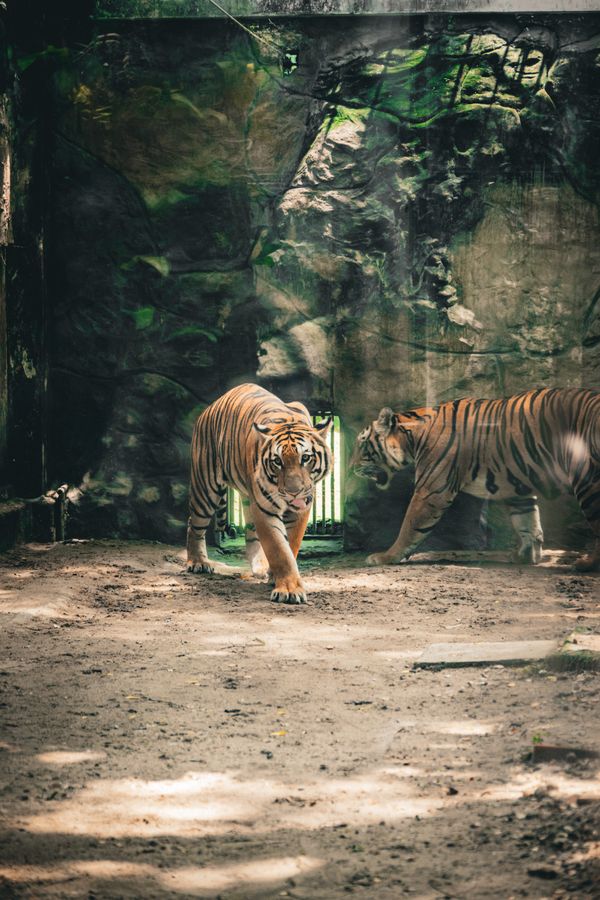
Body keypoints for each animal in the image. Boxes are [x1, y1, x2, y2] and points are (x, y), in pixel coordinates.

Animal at [187, 383, 332, 604]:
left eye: (305, 458)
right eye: (277, 461)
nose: (293, 492)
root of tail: (210, 407)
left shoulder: (300, 510)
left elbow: (291, 544)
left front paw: (275, 577)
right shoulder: (264, 508)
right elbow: (279, 549)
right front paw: (289, 590)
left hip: (247, 499)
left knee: (251, 533)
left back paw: (261, 567)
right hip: (206, 488)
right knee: (194, 524)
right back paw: (197, 562)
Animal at [351, 388, 600, 572]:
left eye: (362, 444)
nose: (351, 468)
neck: (412, 439)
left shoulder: (431, 490)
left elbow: (409, 526)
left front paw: (386, 556)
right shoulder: (518, 488)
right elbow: (527, 522)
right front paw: (525, 556)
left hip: (588, 482)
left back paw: (586, 564)